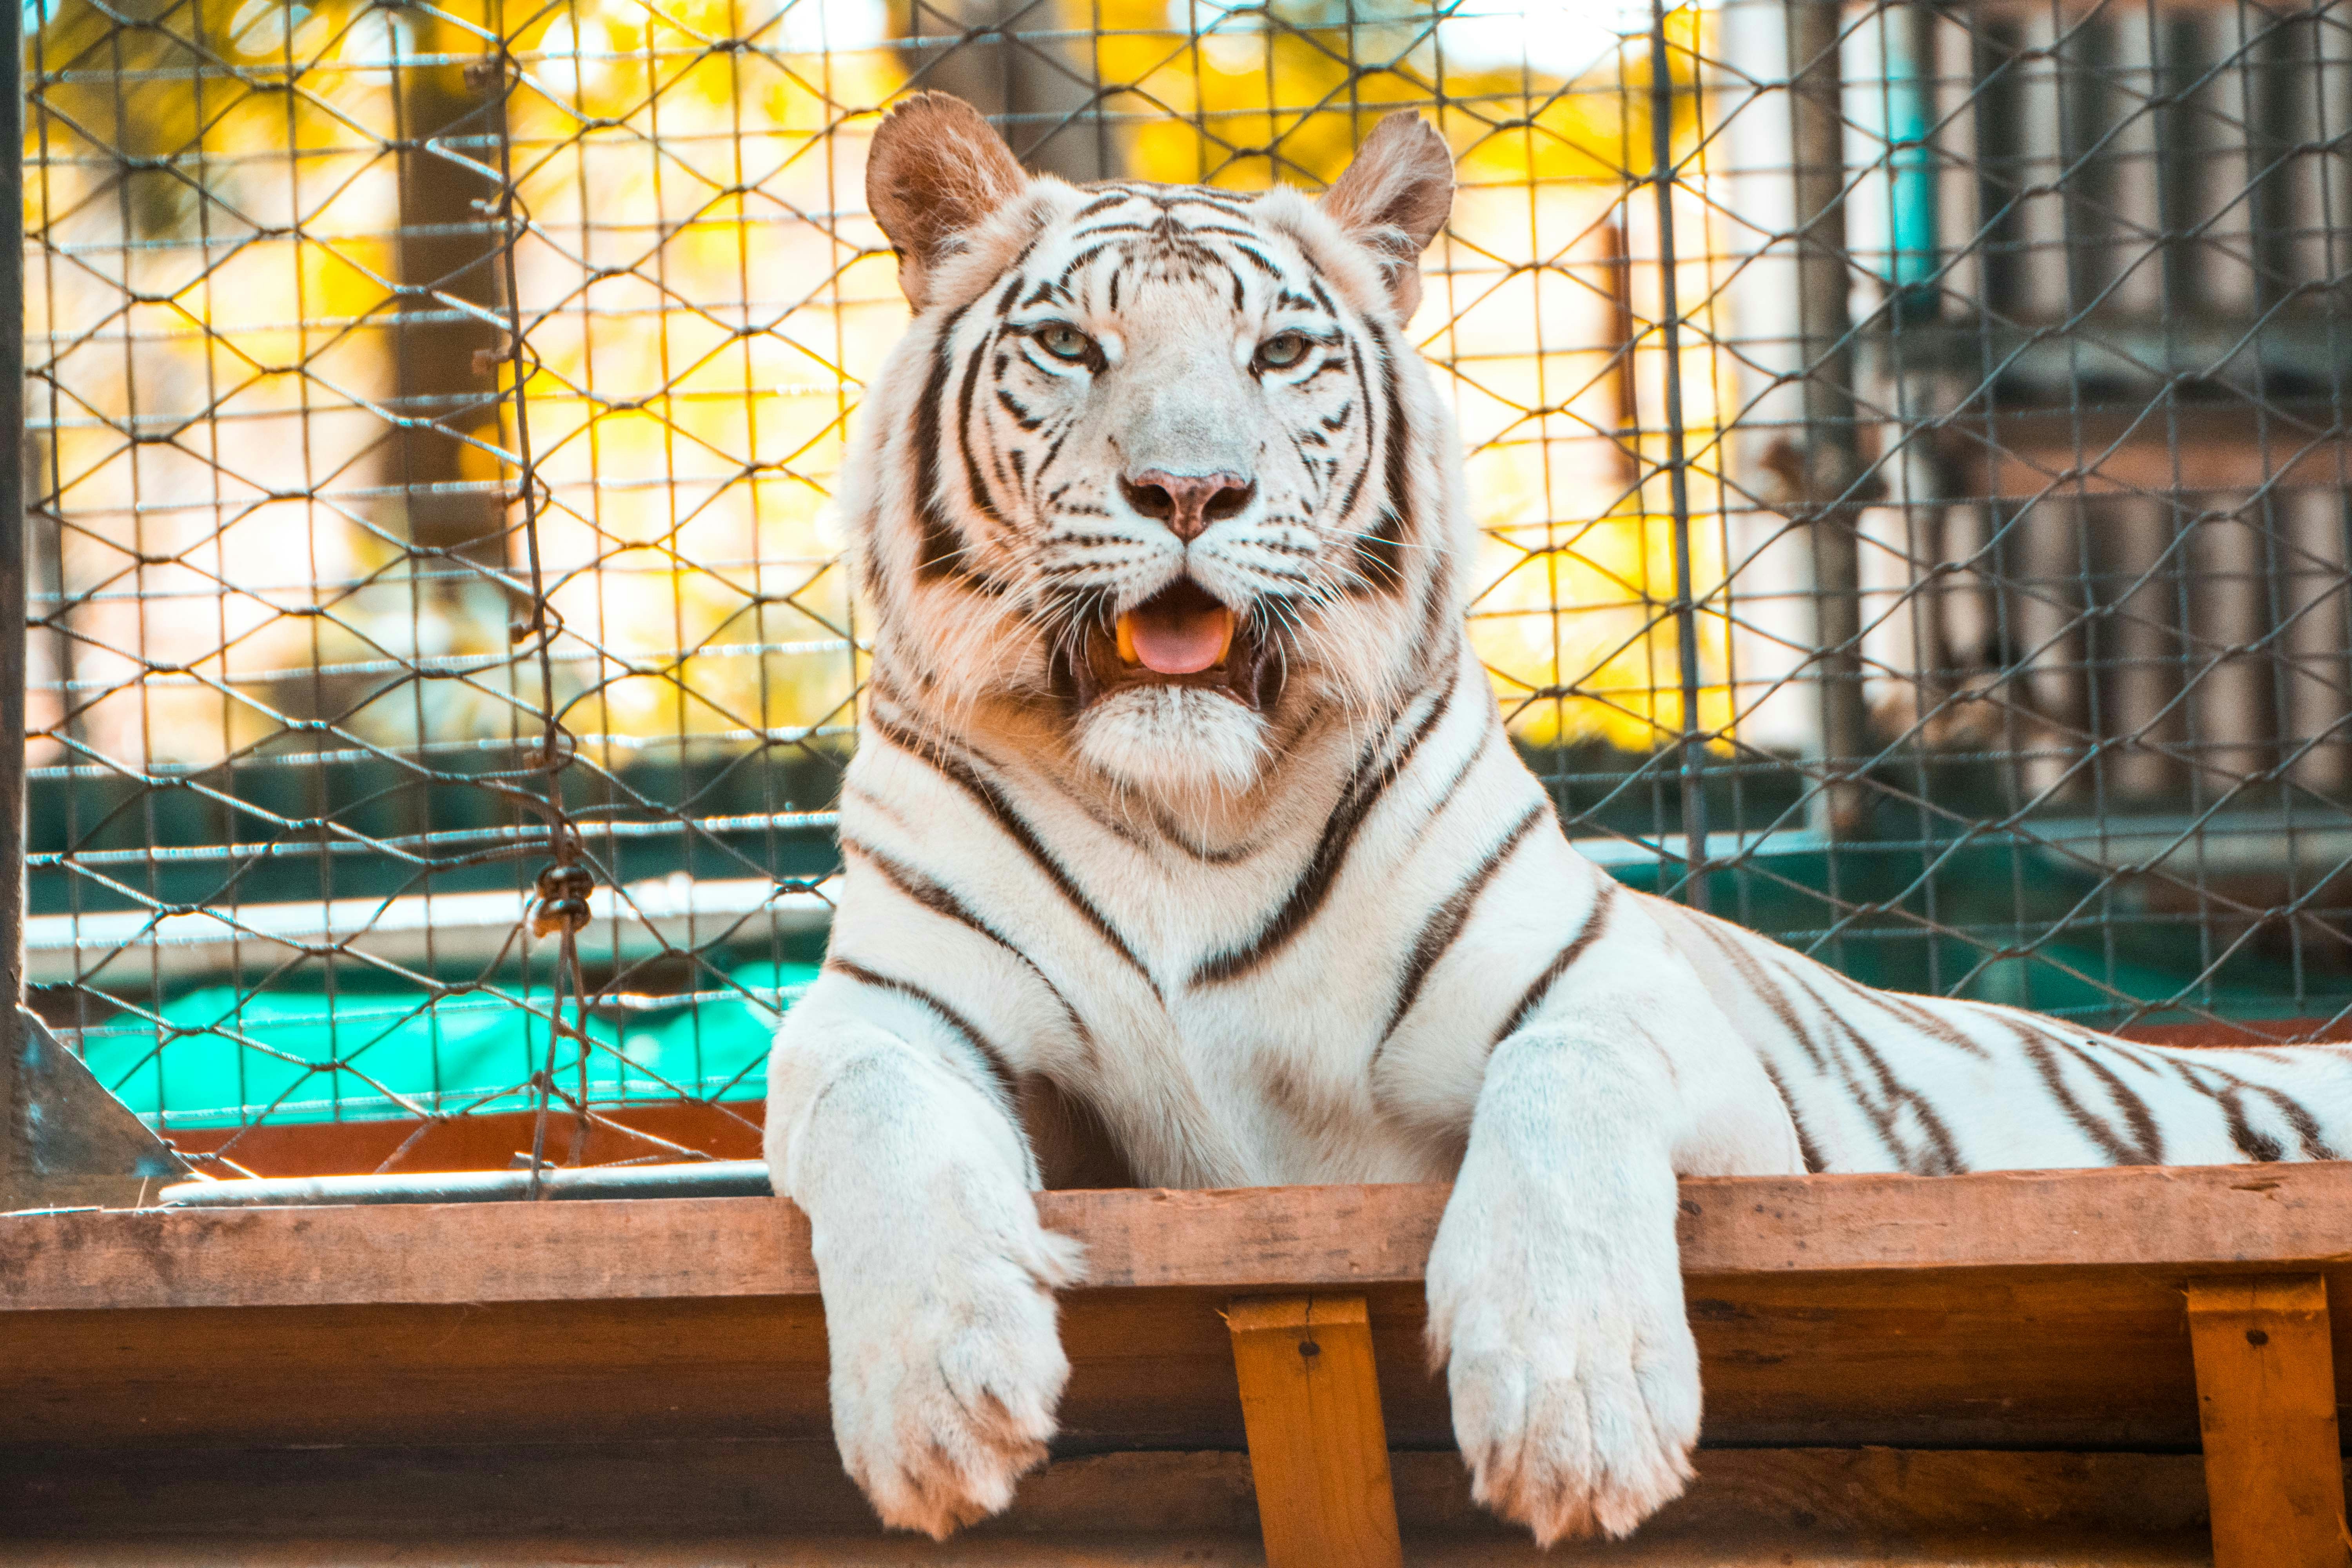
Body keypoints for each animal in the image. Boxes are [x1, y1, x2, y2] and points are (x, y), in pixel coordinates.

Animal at [763, 91, 2352, 1547]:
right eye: (1069, 348)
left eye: (1278, 354)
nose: (1191, 489)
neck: (1185, 808)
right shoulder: (893, 1003)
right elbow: (873, 1101)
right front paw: (936, 1393)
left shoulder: (1630, 1006)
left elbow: (1563, 1081)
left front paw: (1573, 1408)